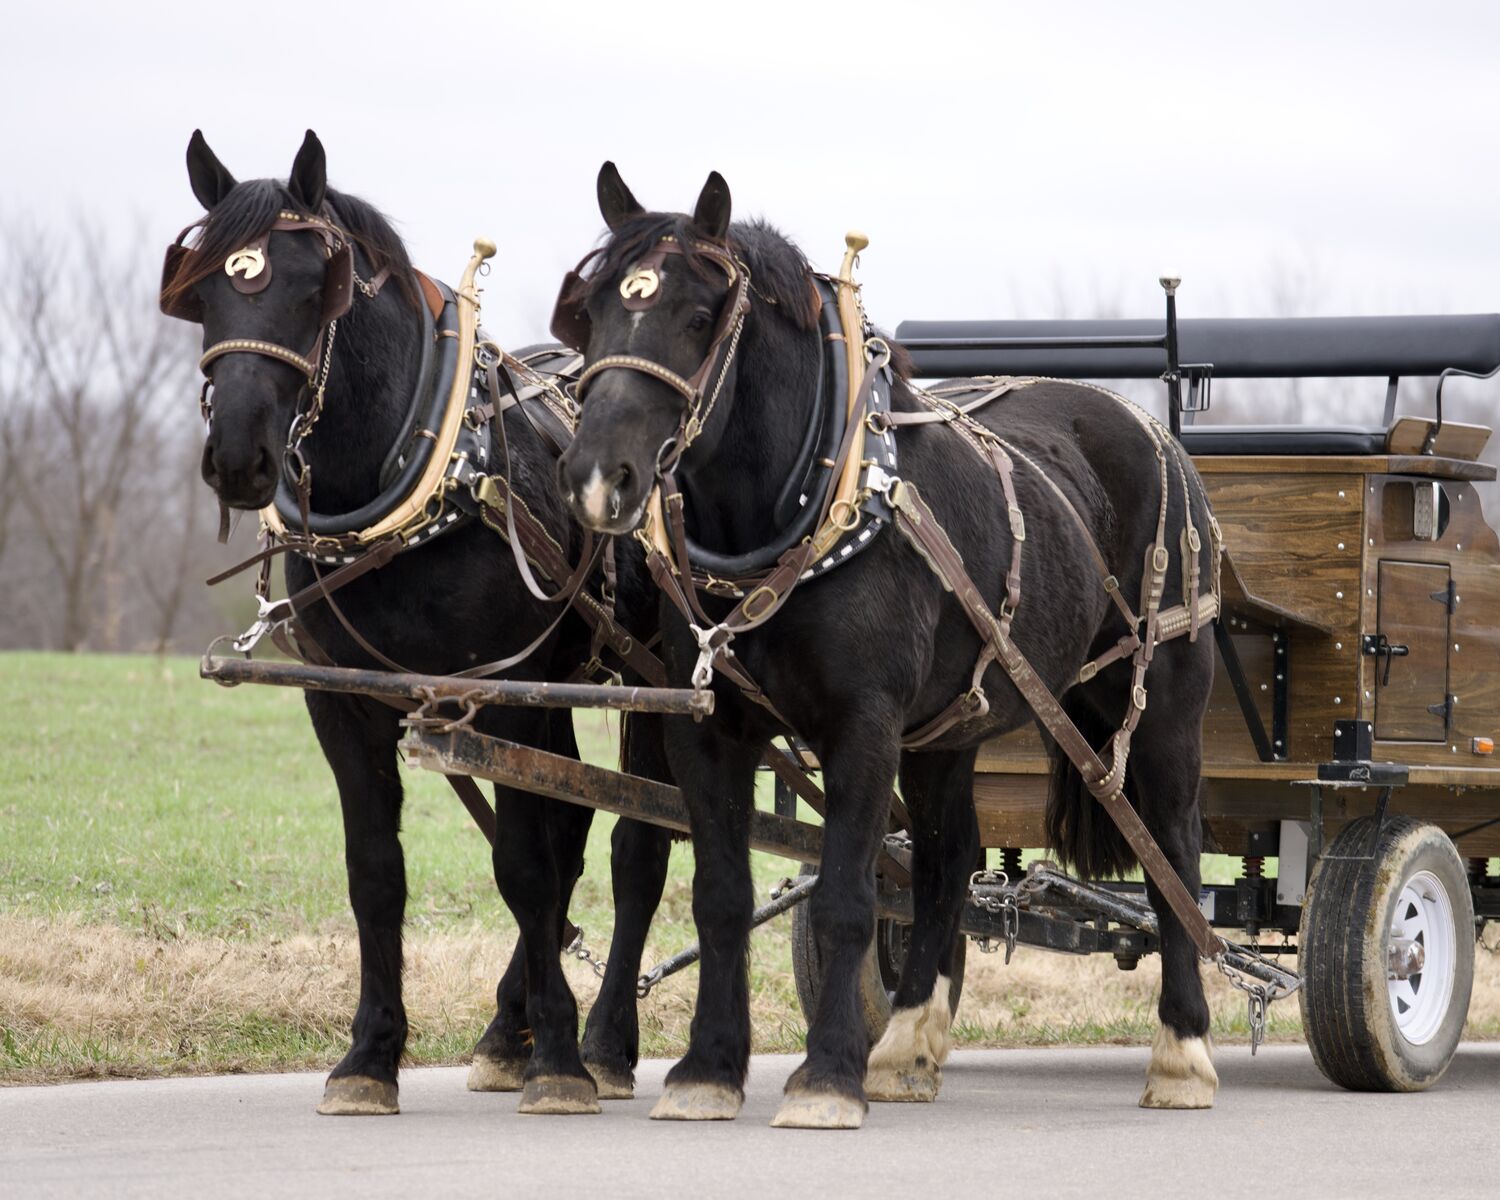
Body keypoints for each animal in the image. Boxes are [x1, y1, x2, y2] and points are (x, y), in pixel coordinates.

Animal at [161, 131, 674, 1116]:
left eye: (312, 286)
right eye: (199, 293)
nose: (240, 457)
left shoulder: (503, 693)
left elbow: (522, 867)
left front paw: (560, 1060)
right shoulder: (343, 704)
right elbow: (377, 872)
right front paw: (370, 1056)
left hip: (651, 683)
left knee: (635, 845)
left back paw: (602, 1043)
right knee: (573, 839)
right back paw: (507, 1030)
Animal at [555, 164, 1221, 1128]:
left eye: (698, 316)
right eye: (594, 309)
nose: (597, 478)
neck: (801, 506)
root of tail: (1151, 427)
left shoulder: (863, 724)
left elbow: (846, 897)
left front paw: (827, 1075)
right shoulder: (706, 728)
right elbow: (721, 897)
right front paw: (708, 1069)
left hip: (1161, 703)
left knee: (1173, 851)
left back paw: (1183, 1052)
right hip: (951, 724)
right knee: (949, 860)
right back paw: (906, 1044)